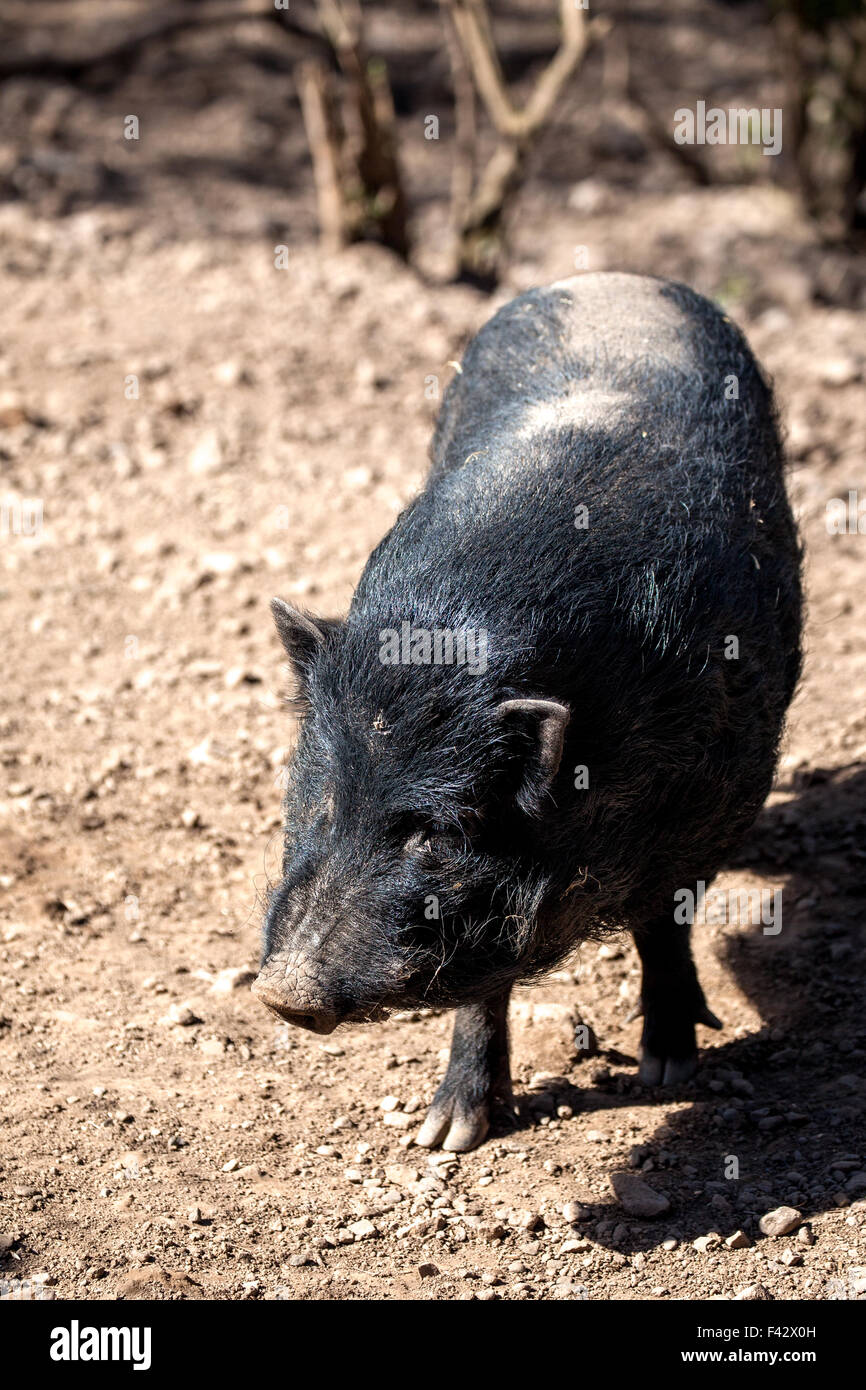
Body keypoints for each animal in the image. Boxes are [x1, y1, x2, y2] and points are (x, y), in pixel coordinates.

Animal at [252, 272, 802, 1152]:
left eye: (433, 833)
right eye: (324, 801)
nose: (283, 992)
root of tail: (610, 275)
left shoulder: (717, 798)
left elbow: (664, 924)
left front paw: (669, 1072)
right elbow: (483, 983)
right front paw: (444, 1137)